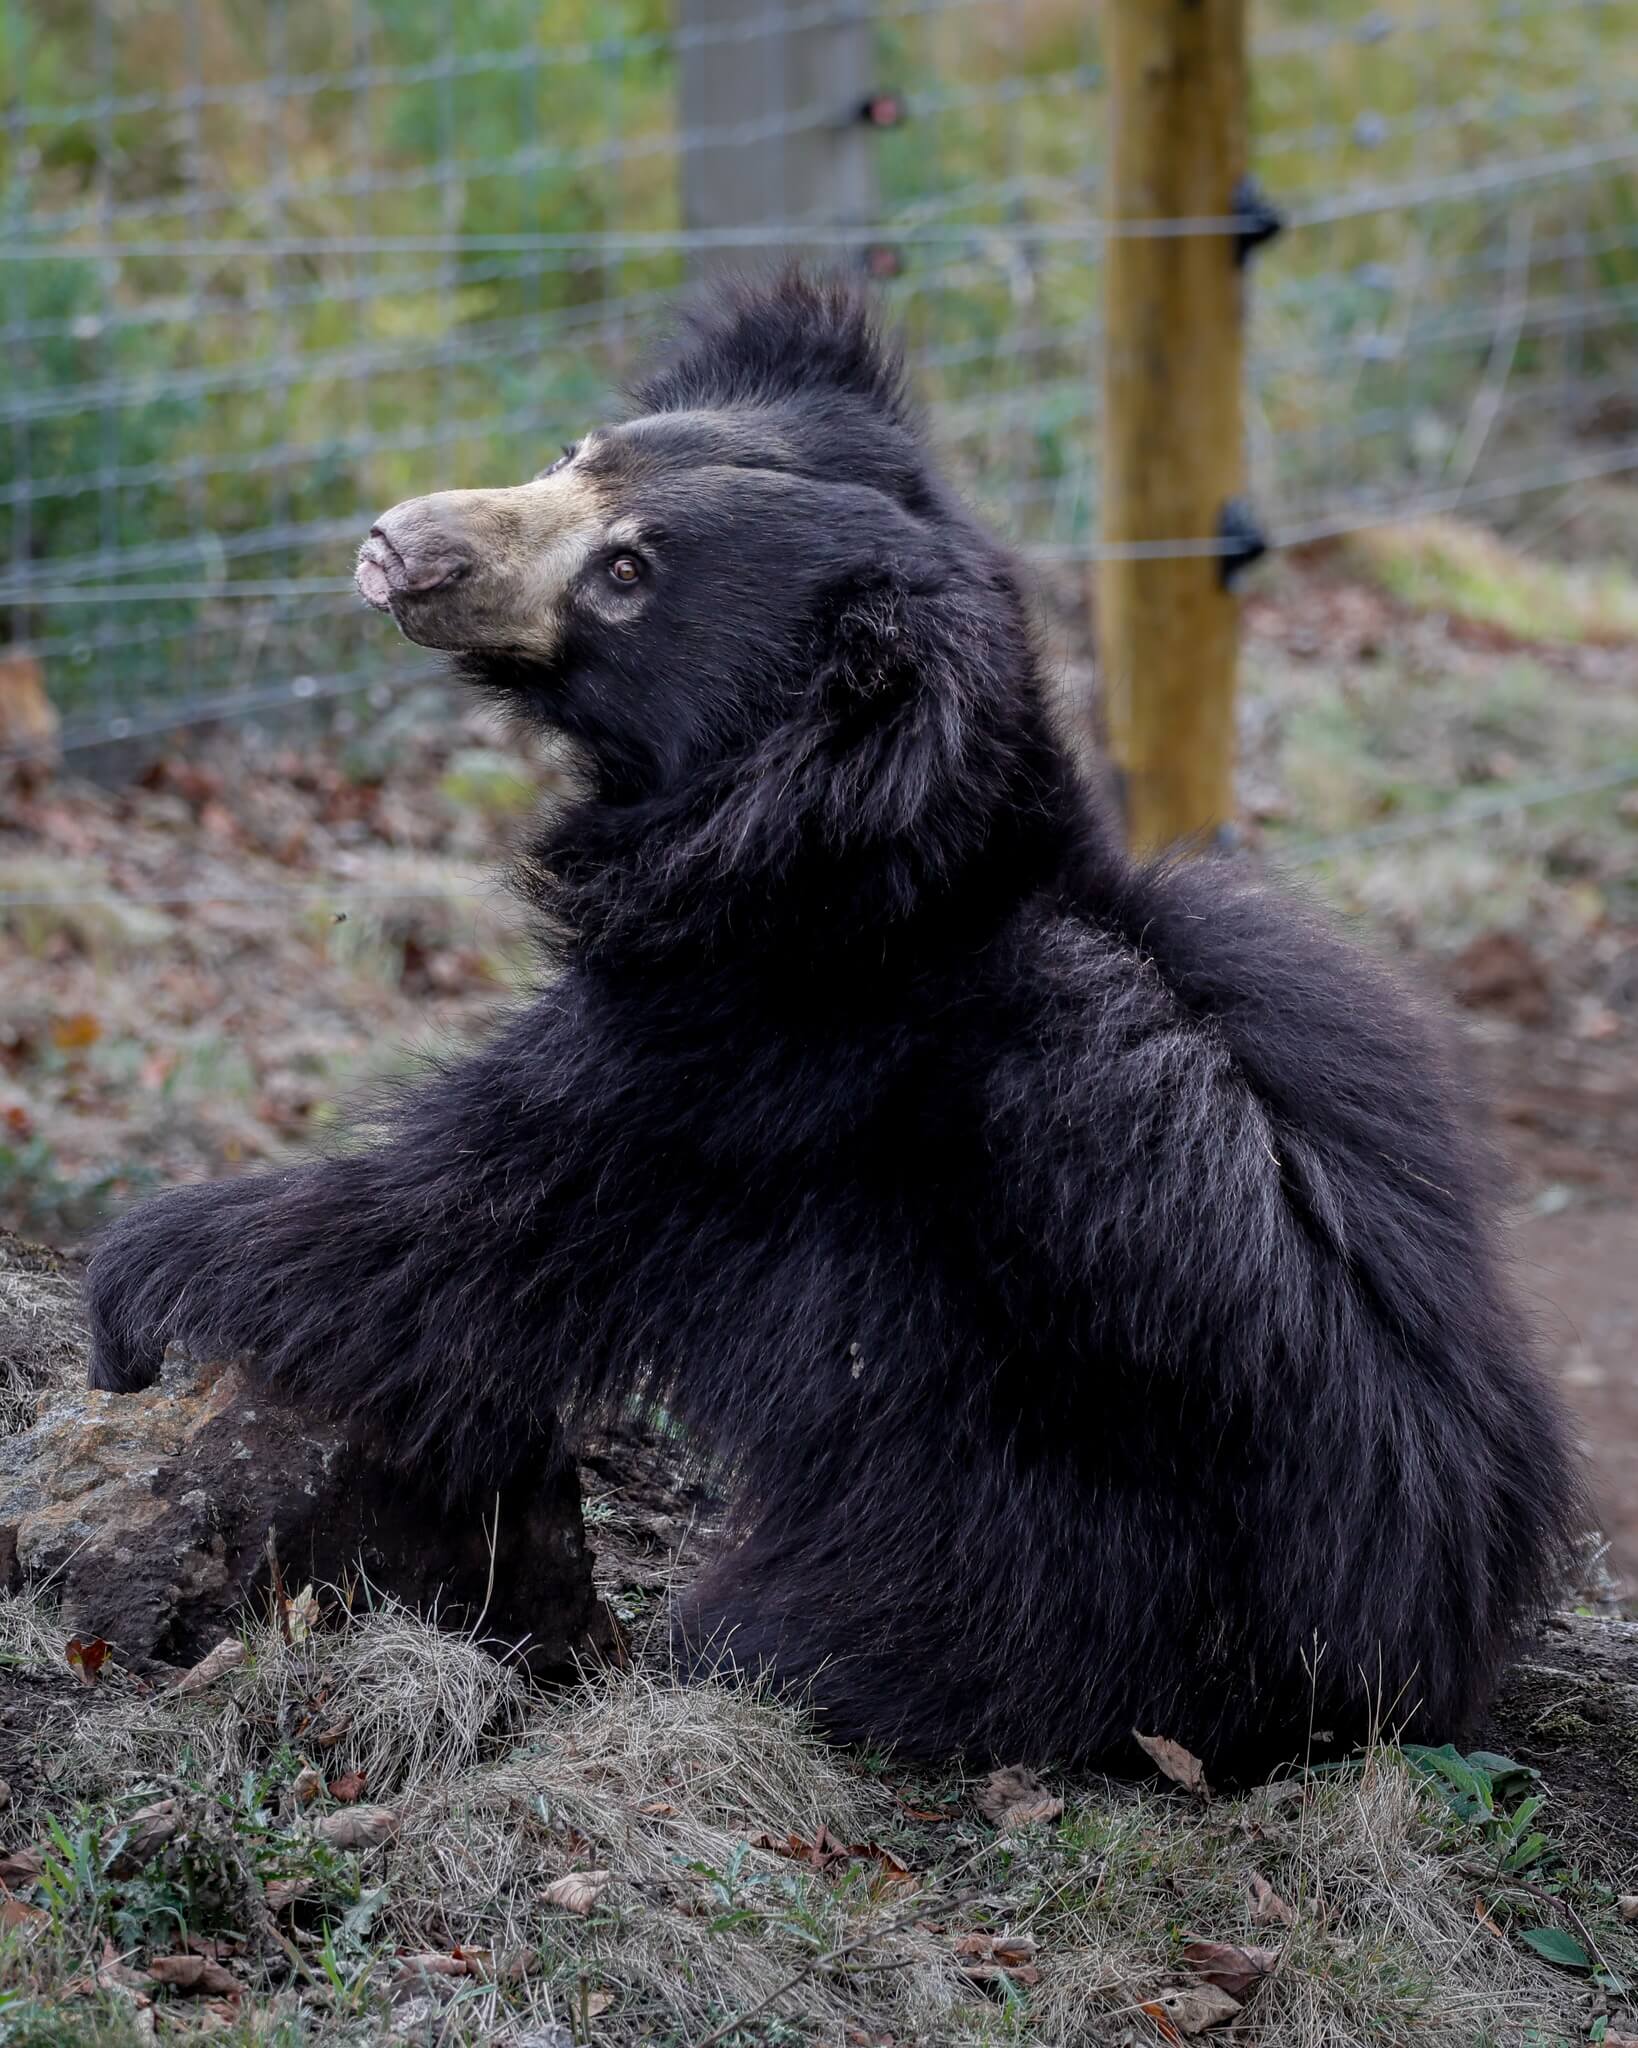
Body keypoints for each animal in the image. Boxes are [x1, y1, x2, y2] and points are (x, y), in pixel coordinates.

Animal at [88, 271, 1577, 1776]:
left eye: (627, 576)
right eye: (577, 453)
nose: (396, 547)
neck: (839, 849)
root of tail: (1395, 1670)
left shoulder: (730, 1062)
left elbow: (461, 1223)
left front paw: (145, 1278)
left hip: (1017, 1541)